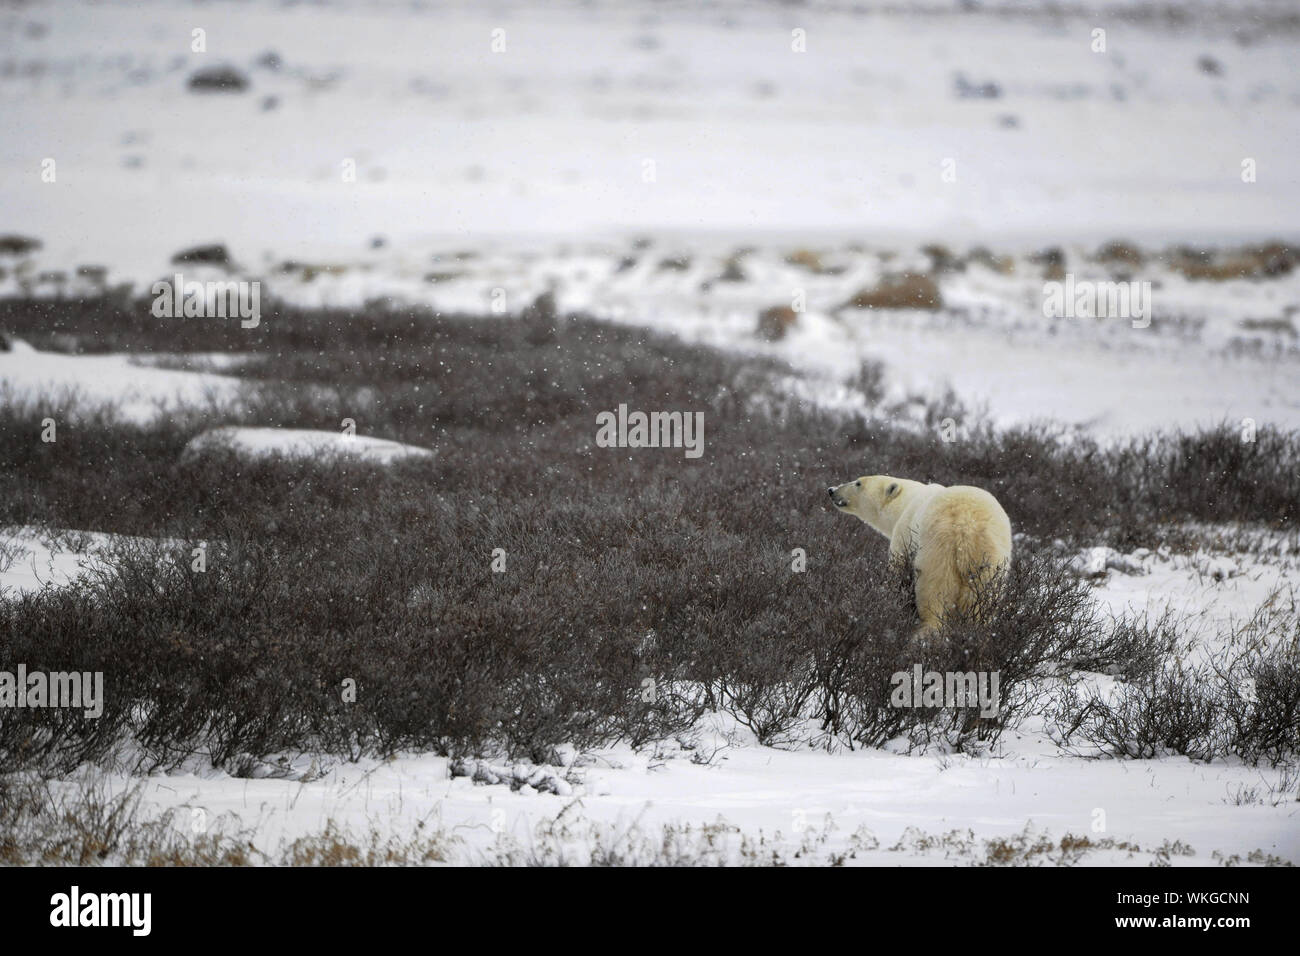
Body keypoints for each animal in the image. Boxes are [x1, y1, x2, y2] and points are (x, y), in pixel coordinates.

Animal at [827, 475, 1012, 634]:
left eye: (858, 483)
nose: (831, 490)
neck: (907, 501)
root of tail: (967, 527)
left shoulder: (904, 533)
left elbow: (898, 570)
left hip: (938, 547)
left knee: (934, 591)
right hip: (990, 560)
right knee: (981, 600)